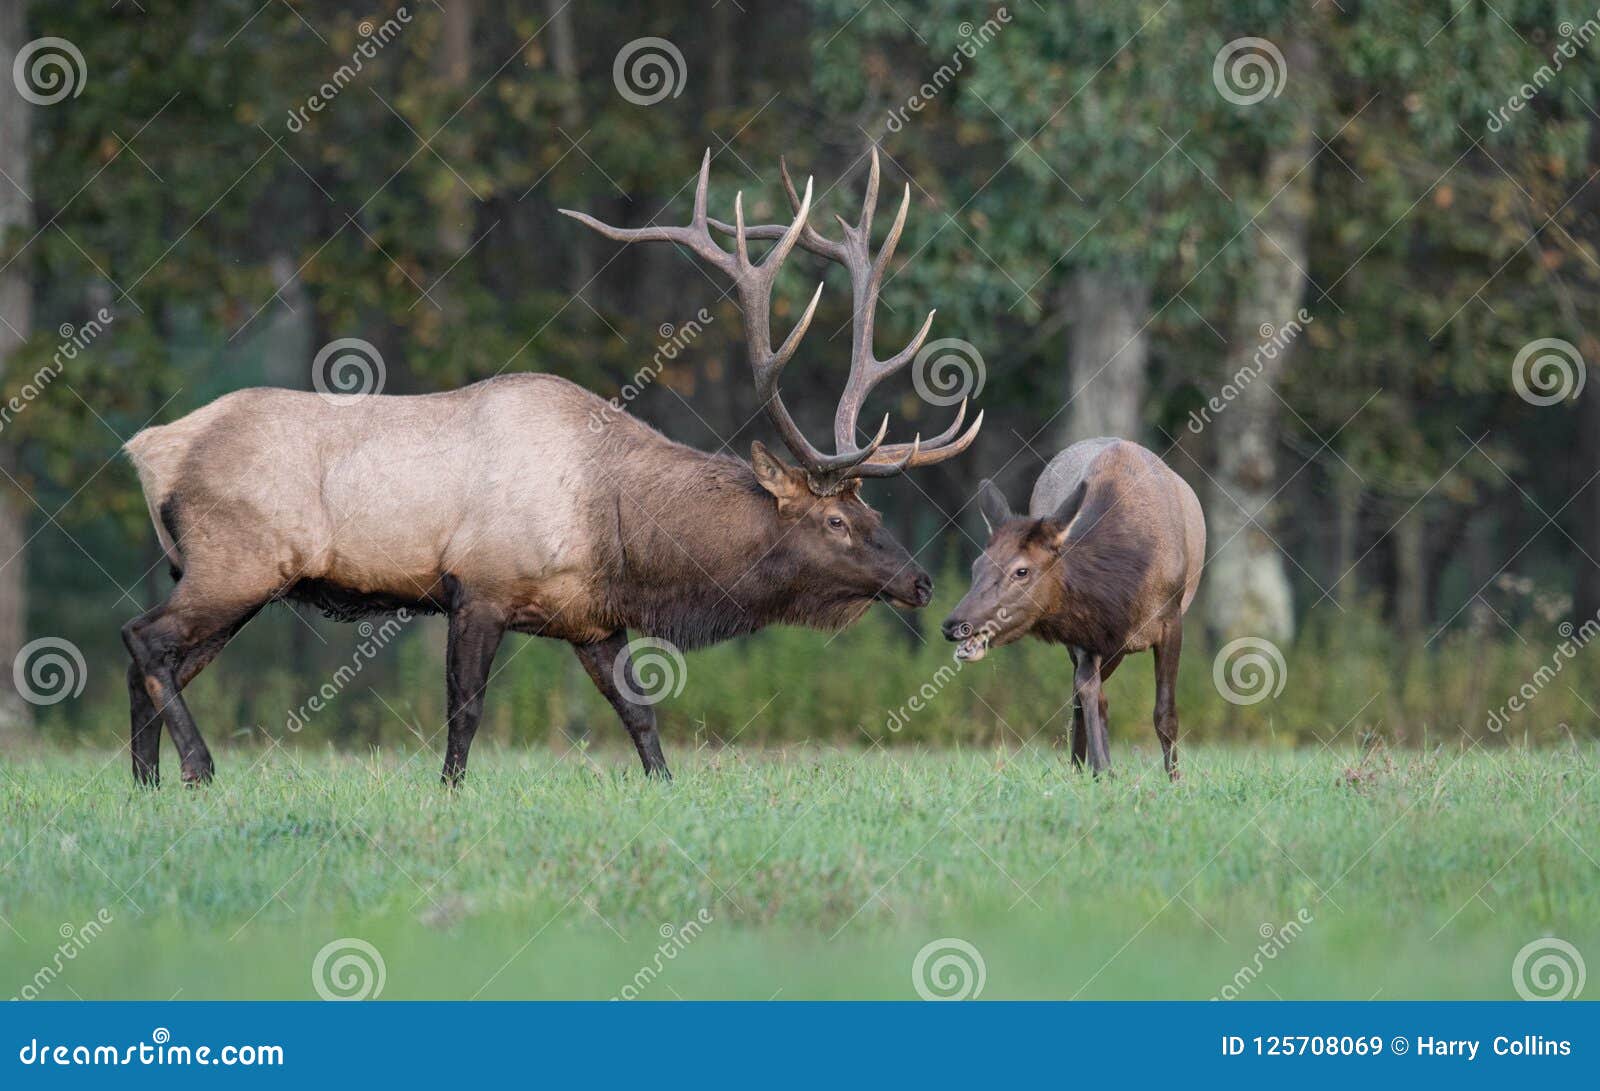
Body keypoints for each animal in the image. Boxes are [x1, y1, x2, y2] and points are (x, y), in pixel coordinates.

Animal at [120, 149, 981, 788]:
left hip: (221, 576)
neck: (622, 531)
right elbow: (464, 712)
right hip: (239, 563)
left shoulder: (593, 619)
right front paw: (450, 792)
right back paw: (196, 769)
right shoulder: (478, 586)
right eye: (836, 519)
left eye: (873, 513)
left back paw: (148, 782)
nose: (919, 581)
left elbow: (640, 714)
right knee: (141, 638)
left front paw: (664, 786)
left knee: (157, 658)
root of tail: (151, 448)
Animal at [941, 438, 1204, 780]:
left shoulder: (1171, 619)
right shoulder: (1086, 631)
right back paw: (1084, 766)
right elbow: (1086, 691)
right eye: (976, 567)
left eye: (1021, 571)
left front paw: (1174, 780)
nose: (955, 624)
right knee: (1086, 695)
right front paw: (1100, 769)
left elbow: (1165, 713)